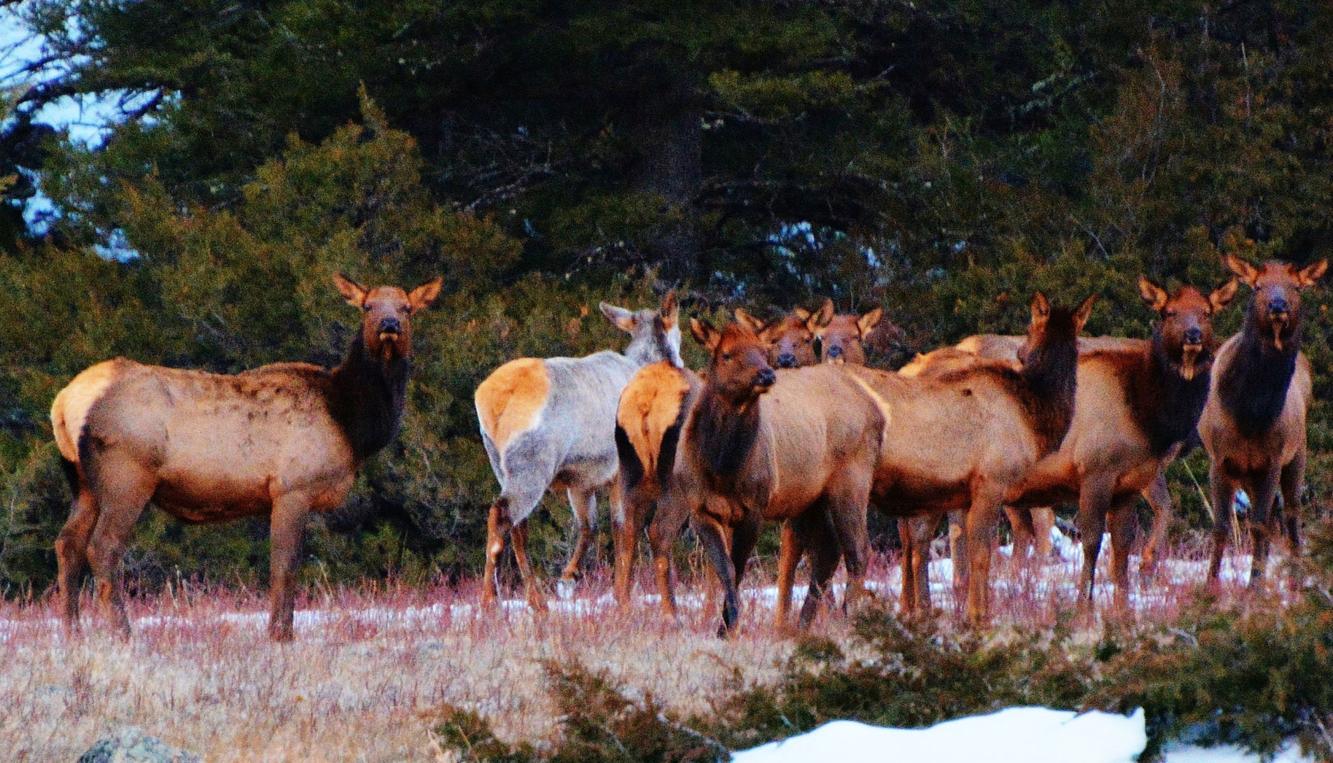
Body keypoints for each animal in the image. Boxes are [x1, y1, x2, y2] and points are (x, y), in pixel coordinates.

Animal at [50, 274, 443, 641]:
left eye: (407, 307)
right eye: (367, 306)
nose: (389, 324)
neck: (350, 422)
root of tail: (65, 401)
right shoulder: (293, 488)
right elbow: (285, 567)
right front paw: (281, 635)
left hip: (82, 481)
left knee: (68, 543)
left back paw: (72, 633)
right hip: (126, 475)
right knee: (103, 547)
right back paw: (123, 633)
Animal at [474, 291, 681, 612]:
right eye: (679, 334)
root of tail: (492, 401)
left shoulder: (581, 480)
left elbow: (589, 526)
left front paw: (568, 577)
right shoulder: (621, 471)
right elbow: (624, 529)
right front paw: (622, 598)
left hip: (499, 462)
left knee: (519, 525)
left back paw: (537, 601)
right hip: (532, 461)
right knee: (502, 514)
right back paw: (489, 599)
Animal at [1199, 255, 1327, 586]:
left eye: (1296, 286)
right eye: (1258, 286)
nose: (1277, 305)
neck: (1249, 416)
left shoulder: (1272, 459)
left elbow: (1258, 526)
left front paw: (1254, 588)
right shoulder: (1220, 459)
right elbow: (1221, 526)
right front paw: (1210, 585)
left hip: (1296, 455)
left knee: (1291, 515)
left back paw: (1296, 582)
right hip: (1249, 474)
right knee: (1273, 518)